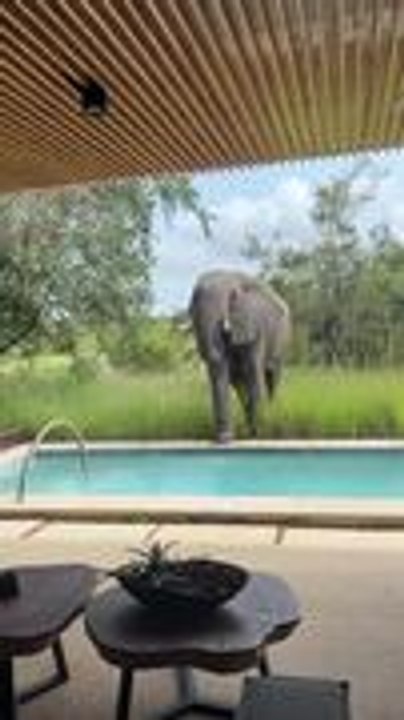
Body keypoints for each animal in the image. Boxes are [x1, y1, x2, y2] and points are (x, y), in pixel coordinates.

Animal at [189, 270, 290, 442]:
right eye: (193, 307)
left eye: (230, 299)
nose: (223, 439)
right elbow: (226, 371)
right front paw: (229, 436)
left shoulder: (254, 324)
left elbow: (252, 371)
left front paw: (257, 434)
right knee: (239, 382)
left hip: (282, 339)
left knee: (272, 377)